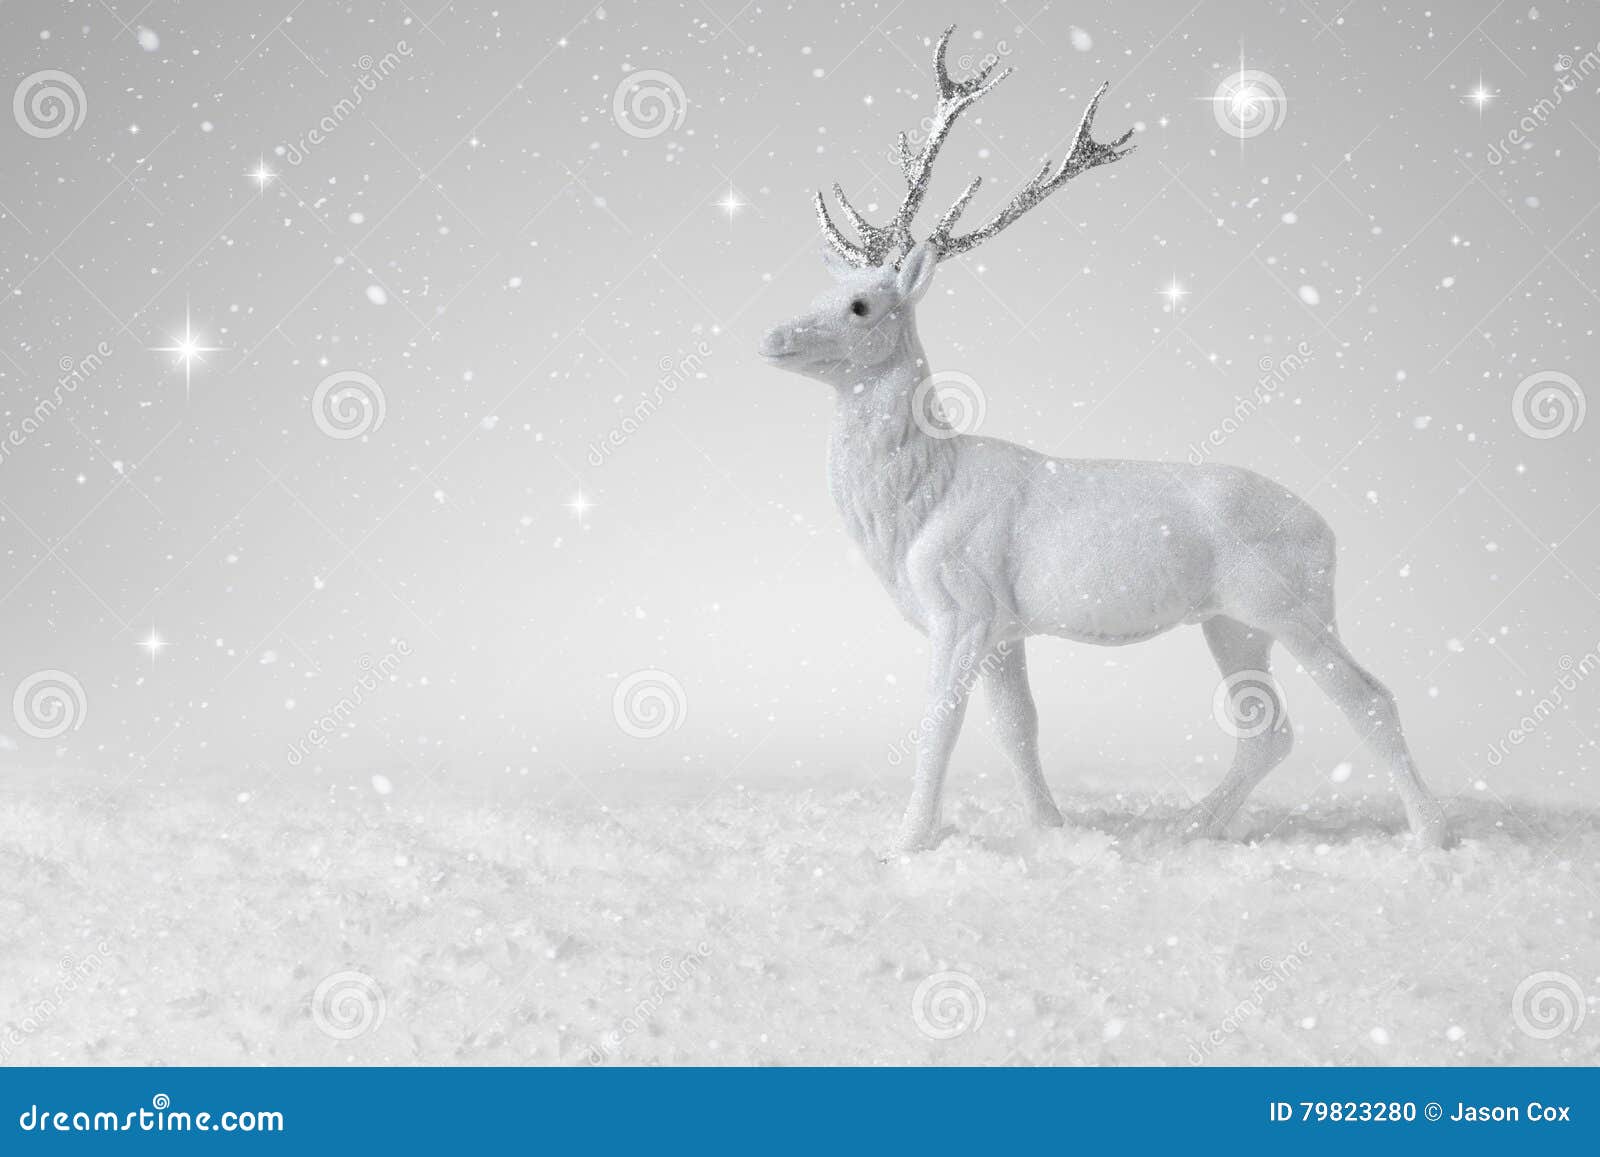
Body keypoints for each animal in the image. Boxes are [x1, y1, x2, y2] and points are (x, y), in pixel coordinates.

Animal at [758, 27, 1449, 855]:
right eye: (824, 288)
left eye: (862, 304)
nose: (772, 337)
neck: (916, 505)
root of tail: (1330, 534)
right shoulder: (1004, 626)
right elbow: (1017, 726)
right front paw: (1050, 826)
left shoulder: (963, 605)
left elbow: (939, 727)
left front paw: (908, 841)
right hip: (1233, 620)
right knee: (1268, 729)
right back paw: (1196, 825)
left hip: (1290, 603)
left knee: (1368, 696)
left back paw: (1431, 836)